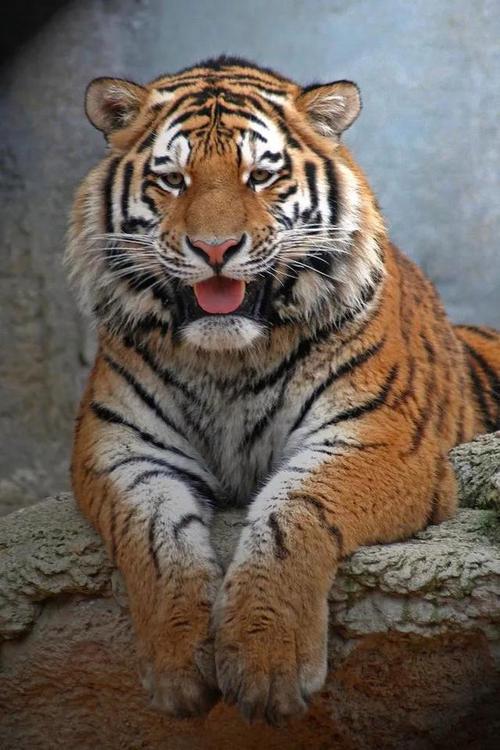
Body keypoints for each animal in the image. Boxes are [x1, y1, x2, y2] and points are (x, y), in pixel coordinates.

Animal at [66, 56, 500, 724]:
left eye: (261, 175)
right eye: (173, 179)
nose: (215, 249)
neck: (227, 362)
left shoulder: (376, 439)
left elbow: (292, 515)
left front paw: (266, 665)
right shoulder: (120, 449)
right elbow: (156, 537)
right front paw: (178, 666)